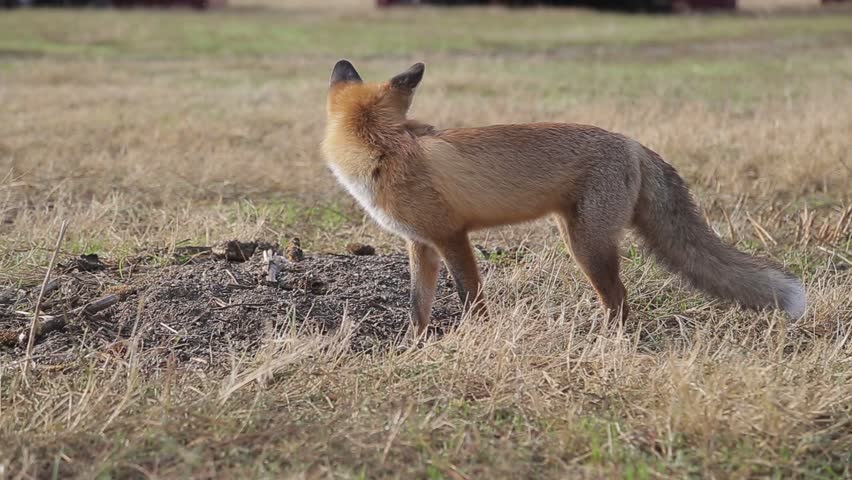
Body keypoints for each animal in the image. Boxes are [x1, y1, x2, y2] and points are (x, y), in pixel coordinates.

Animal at [321, 59, 807, 336]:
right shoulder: (420, 244)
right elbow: (417, 308)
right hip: (580, 237)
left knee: (621, 299)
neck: (385, 150)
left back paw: (609, 344)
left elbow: (471, 300)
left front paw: (475, 341)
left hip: (587, 246)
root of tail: (632, 142)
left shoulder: (452, 236)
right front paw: (416, 349)